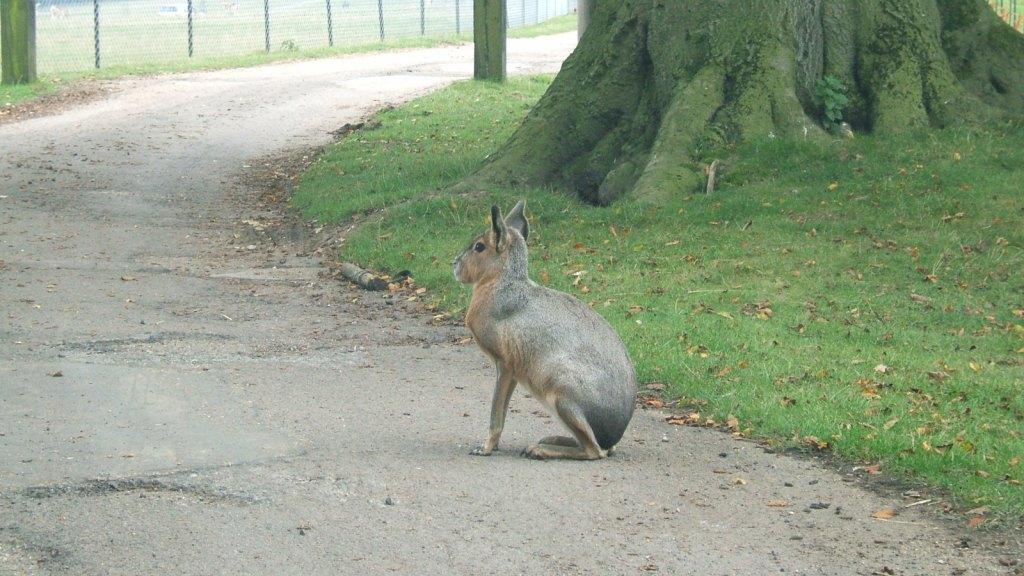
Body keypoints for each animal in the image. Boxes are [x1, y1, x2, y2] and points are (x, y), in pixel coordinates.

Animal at [453, 200, 637, 460]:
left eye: (479, 247)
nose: (455, 265)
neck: (500, 285)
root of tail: (615, 432)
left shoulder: (504, 363)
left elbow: (496, 413)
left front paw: (485, 448)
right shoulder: (513, 372)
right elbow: (503, 411)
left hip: (560, 390)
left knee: (593, 451)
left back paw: (539, 449)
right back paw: (551, 439)